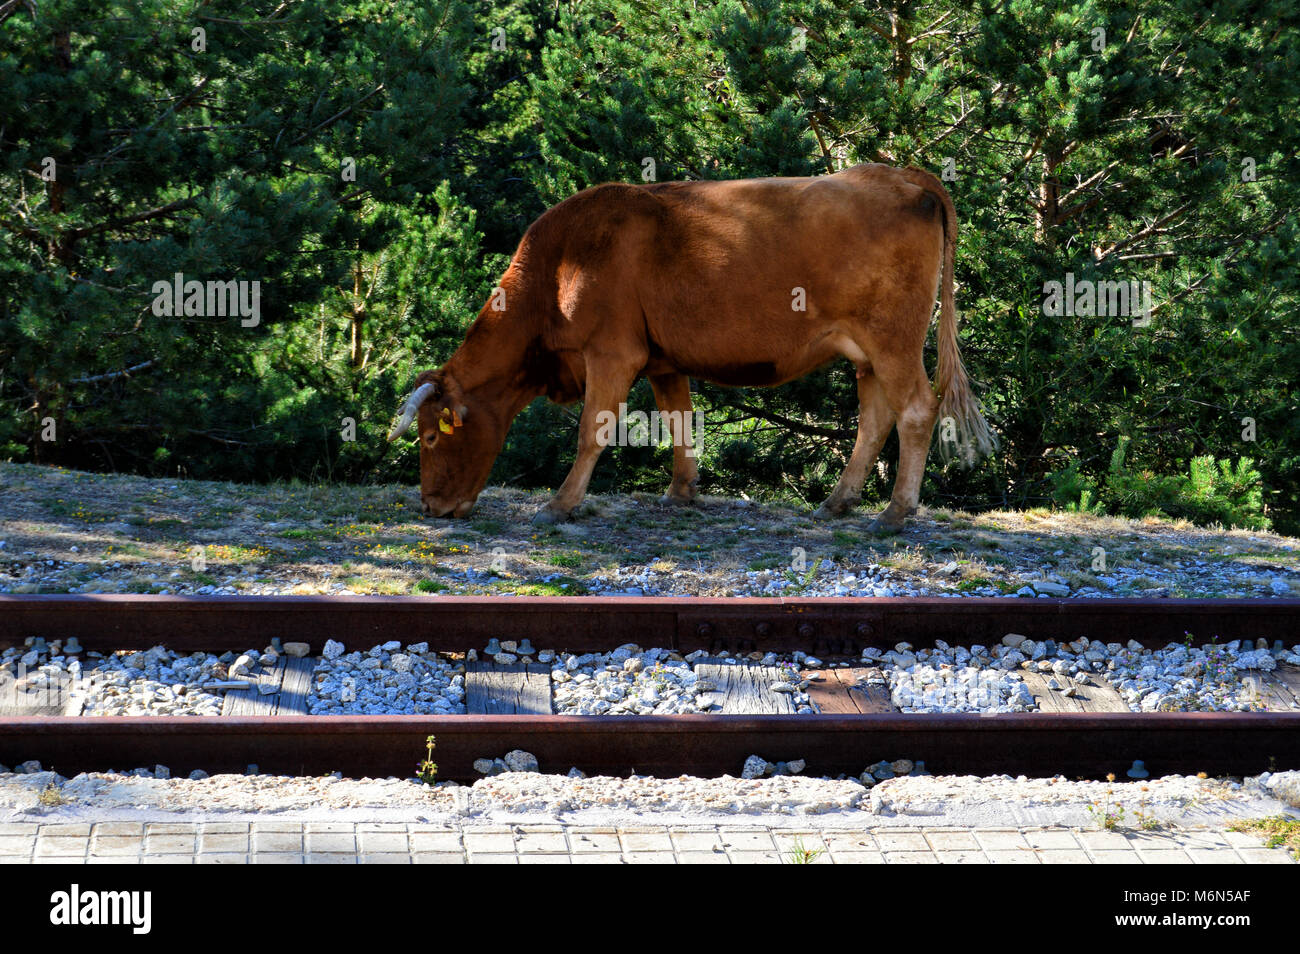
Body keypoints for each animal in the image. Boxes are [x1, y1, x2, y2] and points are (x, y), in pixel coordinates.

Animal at [387, 163, 996, 532]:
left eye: (430, 437)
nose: (431, 506)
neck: (558, 269)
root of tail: (899, 174)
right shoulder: (662, 359)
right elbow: (679, 420)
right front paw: (681, 492)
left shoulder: (612, 353)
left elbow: (592, 431)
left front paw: (559, 504)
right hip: (866, 351)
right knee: (875, 417)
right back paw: (838, 501)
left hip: (893, 339)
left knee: (916, 409)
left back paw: (894, 512)